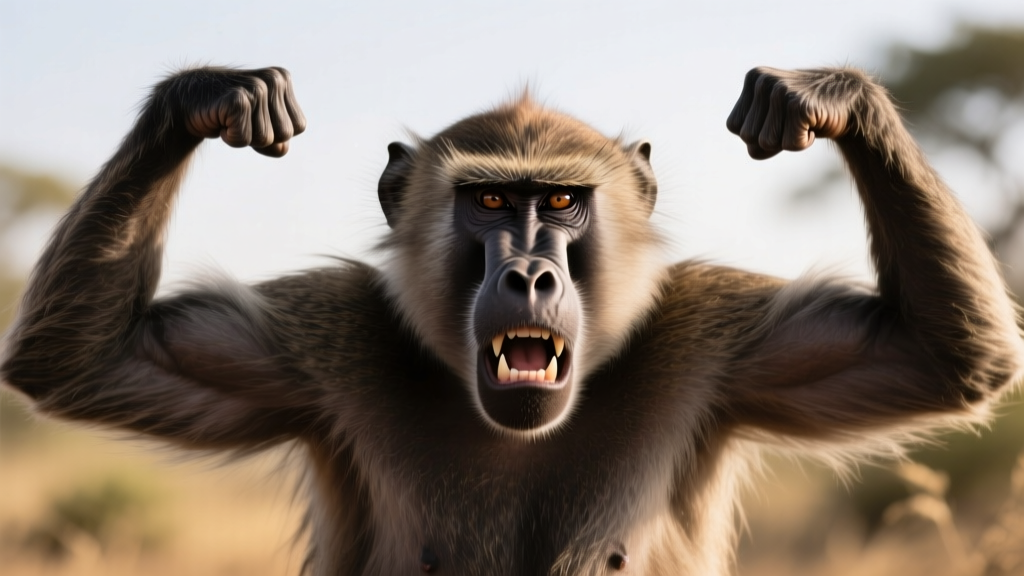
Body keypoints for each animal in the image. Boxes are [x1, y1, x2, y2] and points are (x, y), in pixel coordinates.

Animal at [2, 64, 1022, 575]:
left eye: (562, 202)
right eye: (491, 201)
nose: (529, 273)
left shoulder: (718, 341)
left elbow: (936, 357)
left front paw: (825, 95)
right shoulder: (321, 341)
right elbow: (91, 360)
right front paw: (210, 95)